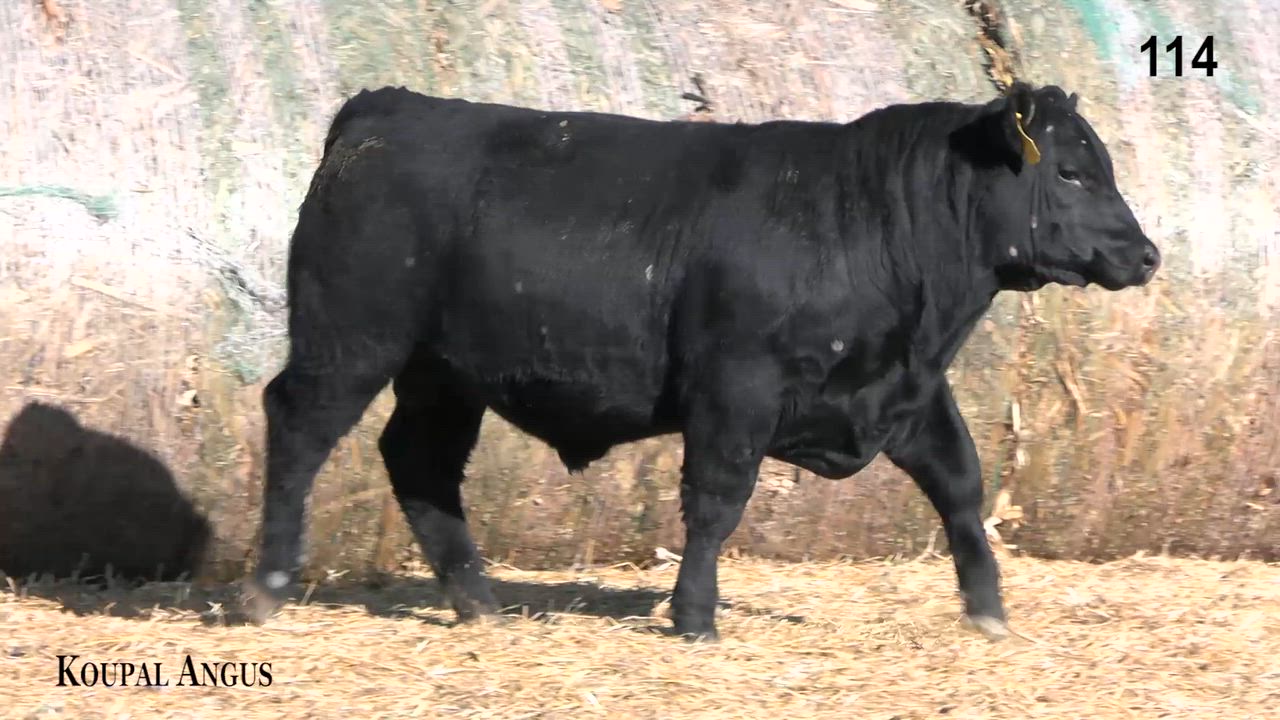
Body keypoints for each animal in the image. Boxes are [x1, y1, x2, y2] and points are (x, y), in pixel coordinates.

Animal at [240, 82, 1160, 641]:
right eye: (1072, 172)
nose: (1146, 254)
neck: (873, 225)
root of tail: (387, 109)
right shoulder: (735, 391)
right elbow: (717, 503)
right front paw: (694, 616)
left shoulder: (906, 388)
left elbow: (961, 487)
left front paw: (987, 608)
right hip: (349, 340)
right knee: (298, 428)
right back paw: (267, 586)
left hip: (442, 374)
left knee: (419, 463)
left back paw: (478, 601)